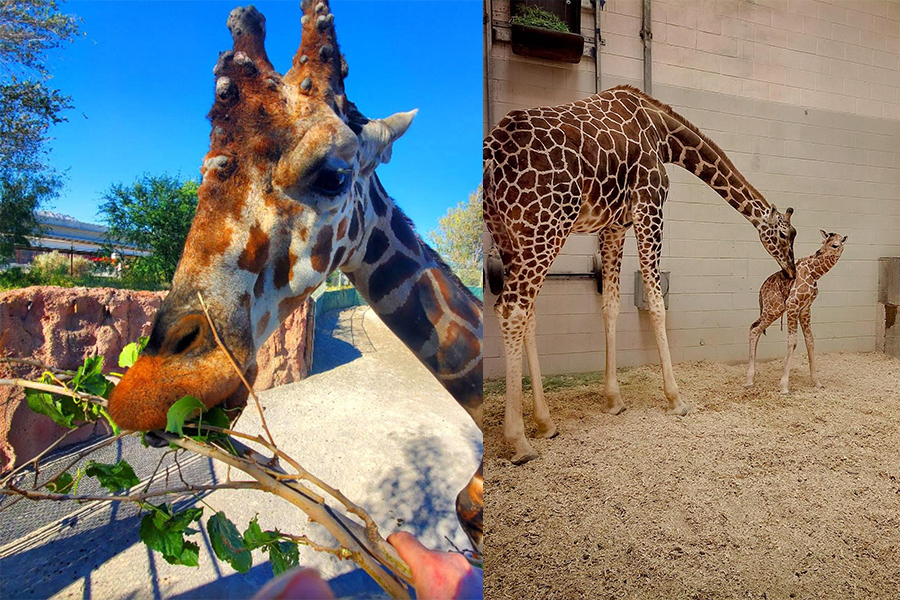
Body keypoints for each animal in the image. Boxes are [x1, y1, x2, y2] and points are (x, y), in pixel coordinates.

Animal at [484, 85, 798, 464]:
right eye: (786, 235)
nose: (792, 270)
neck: (664, 136)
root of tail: (491, 152)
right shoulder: (650, 207)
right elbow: (656, 303)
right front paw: (676, 398)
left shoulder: (614, 225)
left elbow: (611, 306)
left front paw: (614, 400)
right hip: (544, 227)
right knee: (511, 308)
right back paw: (519, 440)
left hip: (509, 234)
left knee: (526, 313)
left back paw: (545, 423)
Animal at [746, 231, 847, 393]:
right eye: (823, 242)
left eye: (835, 245)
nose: (819, 252)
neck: (814, 273)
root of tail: (761, 290)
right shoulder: (793, 305)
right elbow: (792, 341)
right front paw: (784, 386)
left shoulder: (805, 308)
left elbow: (810, 340)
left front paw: (817, 383)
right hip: (773, 308)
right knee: (754, 329)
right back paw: (749, 380)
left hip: (773, 309)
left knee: (755, 328)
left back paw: (751, 379)